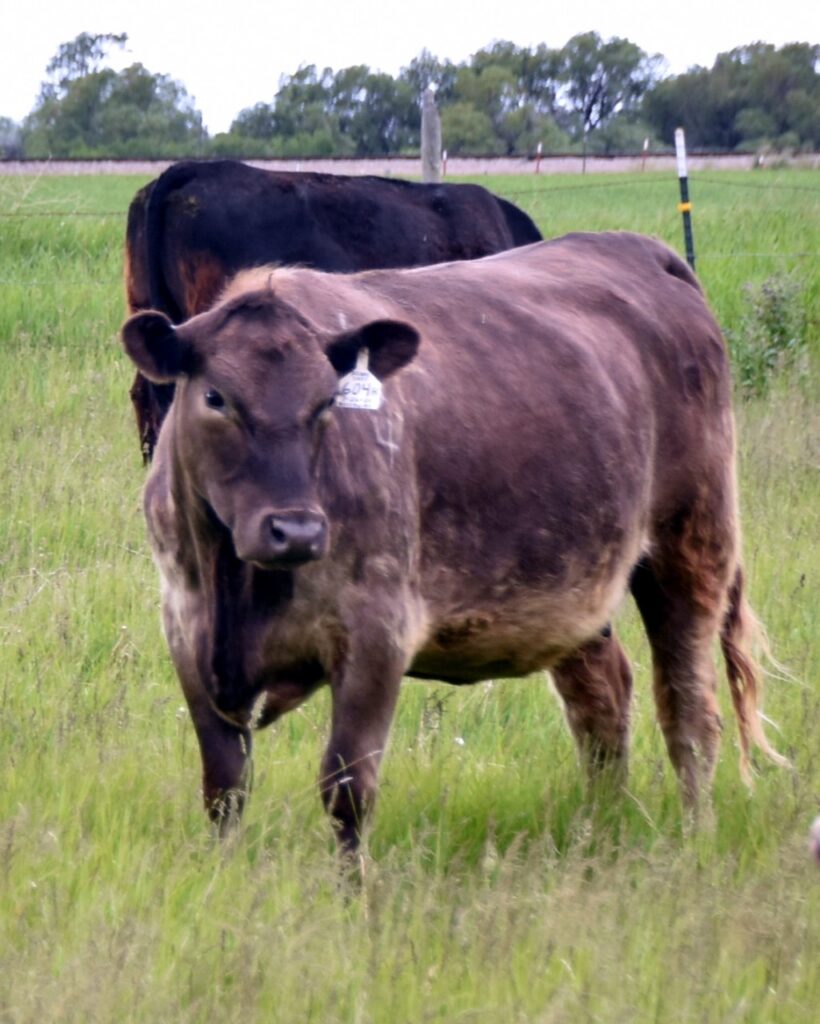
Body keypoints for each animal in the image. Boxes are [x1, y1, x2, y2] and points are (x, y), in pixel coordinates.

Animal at [121, 231, 786, 856]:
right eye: (216, 397)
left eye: (328, 403)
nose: (298, 530)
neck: (237, 588)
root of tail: (643, 250)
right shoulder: (186, 630)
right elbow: (224, 787)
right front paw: (224, 869)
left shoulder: (377, 633)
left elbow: (346, 788)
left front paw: (351, 895)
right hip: (576, 570)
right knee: (602, 699)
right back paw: (599, 832)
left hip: (693, 541)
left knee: (689, 710)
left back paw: (694, 837)